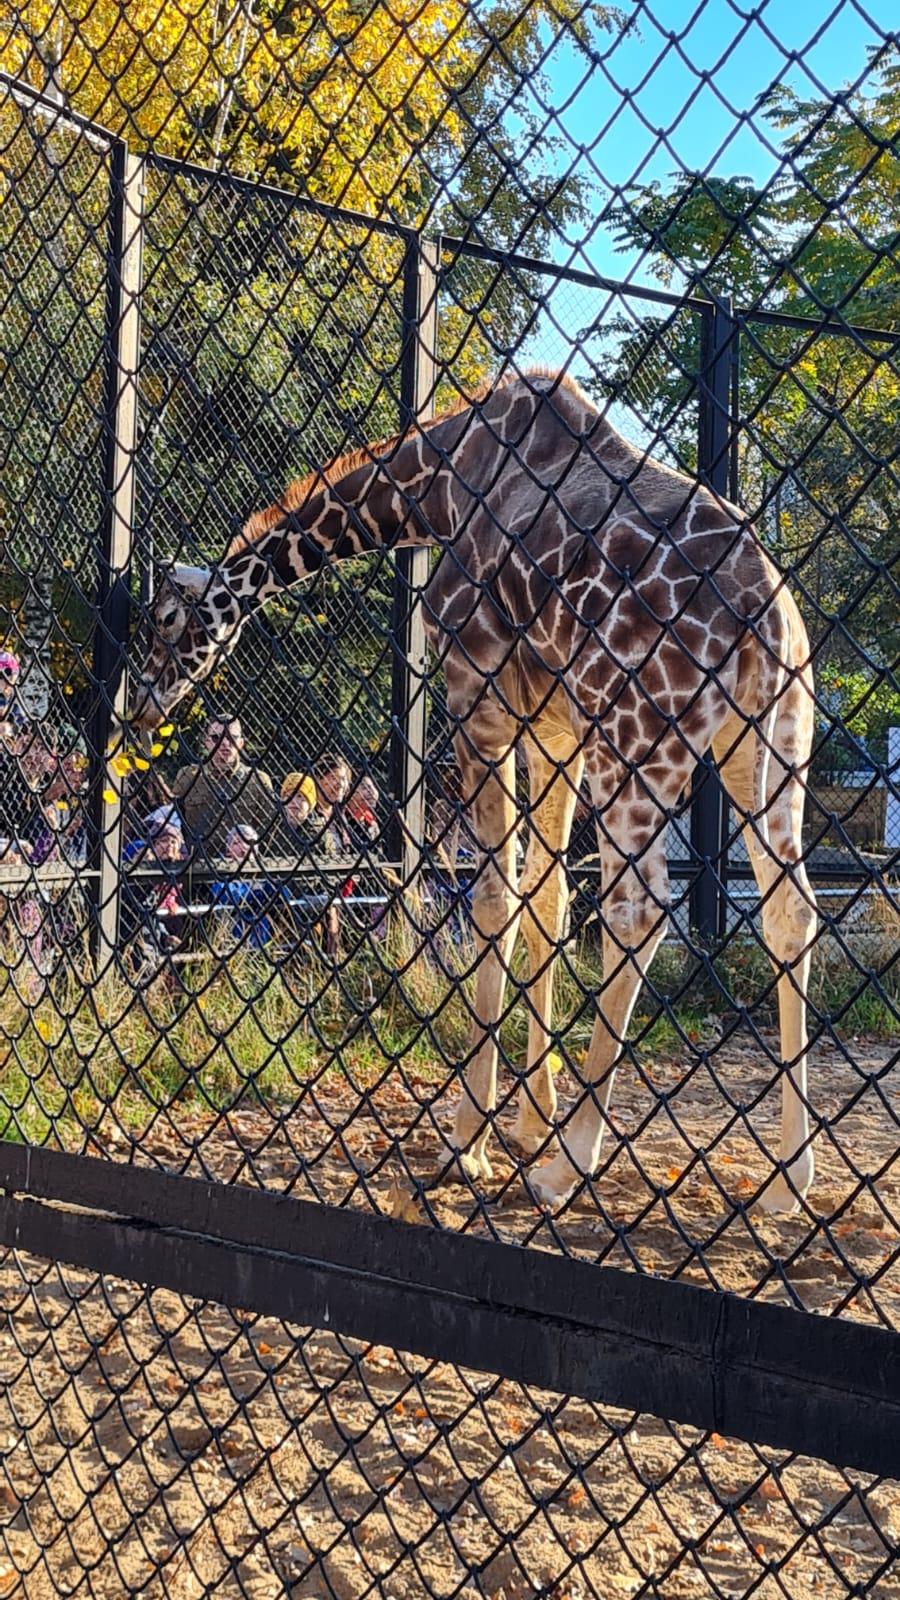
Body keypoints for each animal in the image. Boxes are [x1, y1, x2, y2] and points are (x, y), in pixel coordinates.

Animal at [129, 366, 816, 1209]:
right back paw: (789, 1178)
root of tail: (761, 615)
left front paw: (474, 1140)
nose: (141, 701)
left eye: (165, 618)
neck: (438, 486)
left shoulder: (476, 694)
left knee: (638, 909)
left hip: (642, 740)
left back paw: (571, 1164)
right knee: (789, 911)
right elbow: (549, 901)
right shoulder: (556, 728)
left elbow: (495, 900)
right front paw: (529, 1121)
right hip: (768, 741)